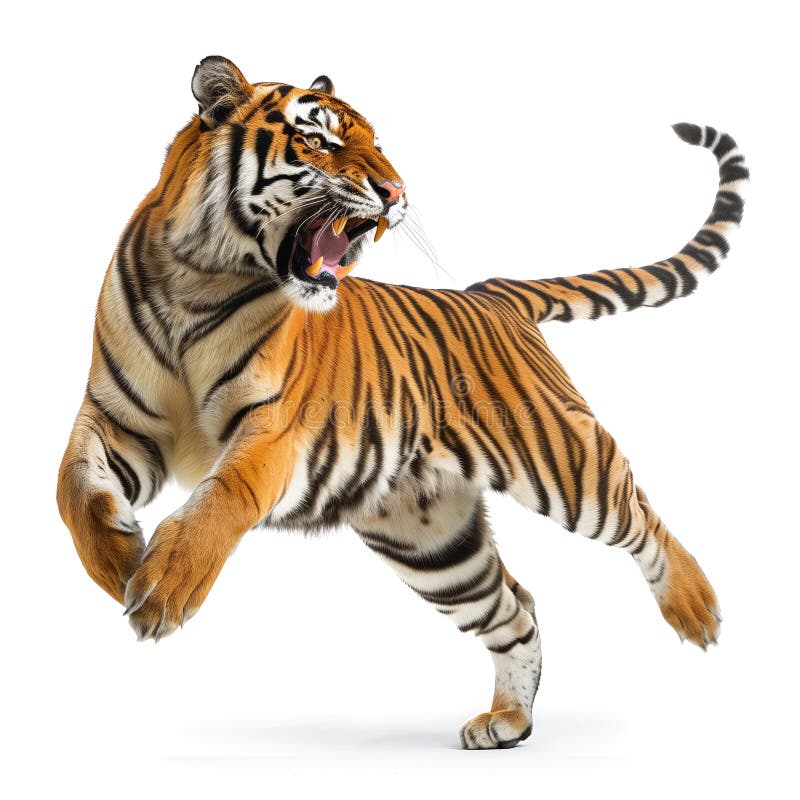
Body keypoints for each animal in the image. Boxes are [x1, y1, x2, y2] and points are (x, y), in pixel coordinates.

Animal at [56, 55, 748, 750]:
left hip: (566, 467)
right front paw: (119, 561)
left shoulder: (270, 427)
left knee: (640, 514)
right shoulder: (117, 419)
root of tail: (492, 293)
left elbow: (224, 495)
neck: (196, 276)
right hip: (430, 541)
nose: (396, 192)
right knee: (514, 607)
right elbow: (72, 489)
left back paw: (695, 607)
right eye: (320, 139)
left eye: (377, 144)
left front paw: (166, 585)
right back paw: (508, 720)